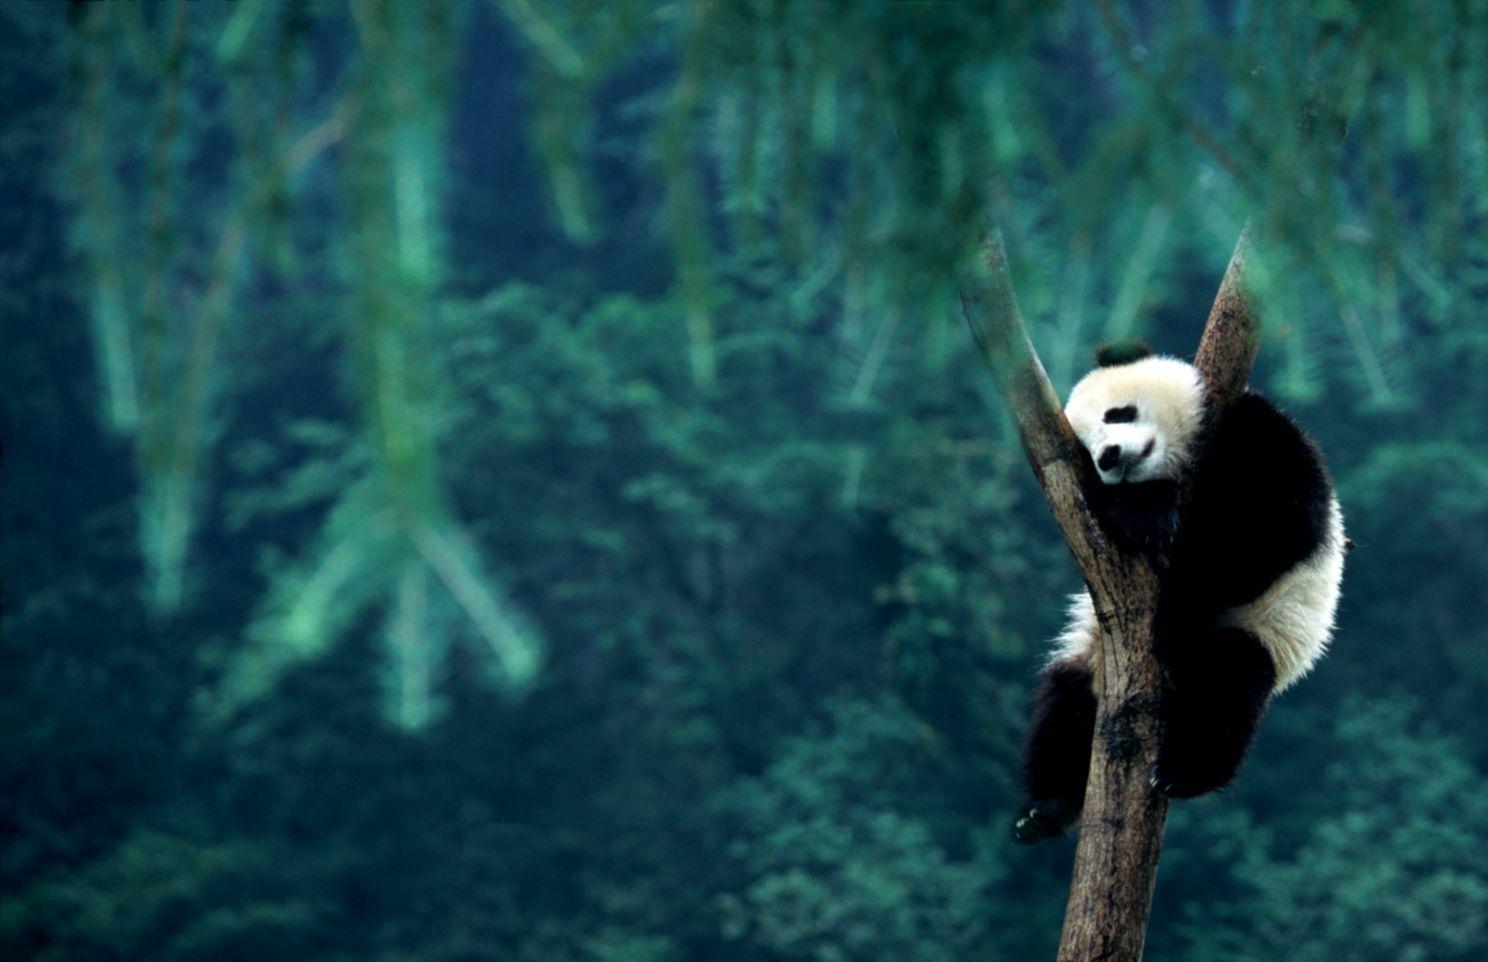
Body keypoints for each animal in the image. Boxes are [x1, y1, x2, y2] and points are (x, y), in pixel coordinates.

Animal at [1013, 342, 1345, 844]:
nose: (1109, 457)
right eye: (1086, 453)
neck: (1179, 462)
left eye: (1117, 413)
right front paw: (1140, 512)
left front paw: (1172, 603)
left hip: (1262, 629)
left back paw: (1183, 773)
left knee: (1226, 686)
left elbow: (1267, 533)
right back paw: (1048, 808)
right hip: (1091, 658)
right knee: (1065, 708)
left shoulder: (1258, 435)